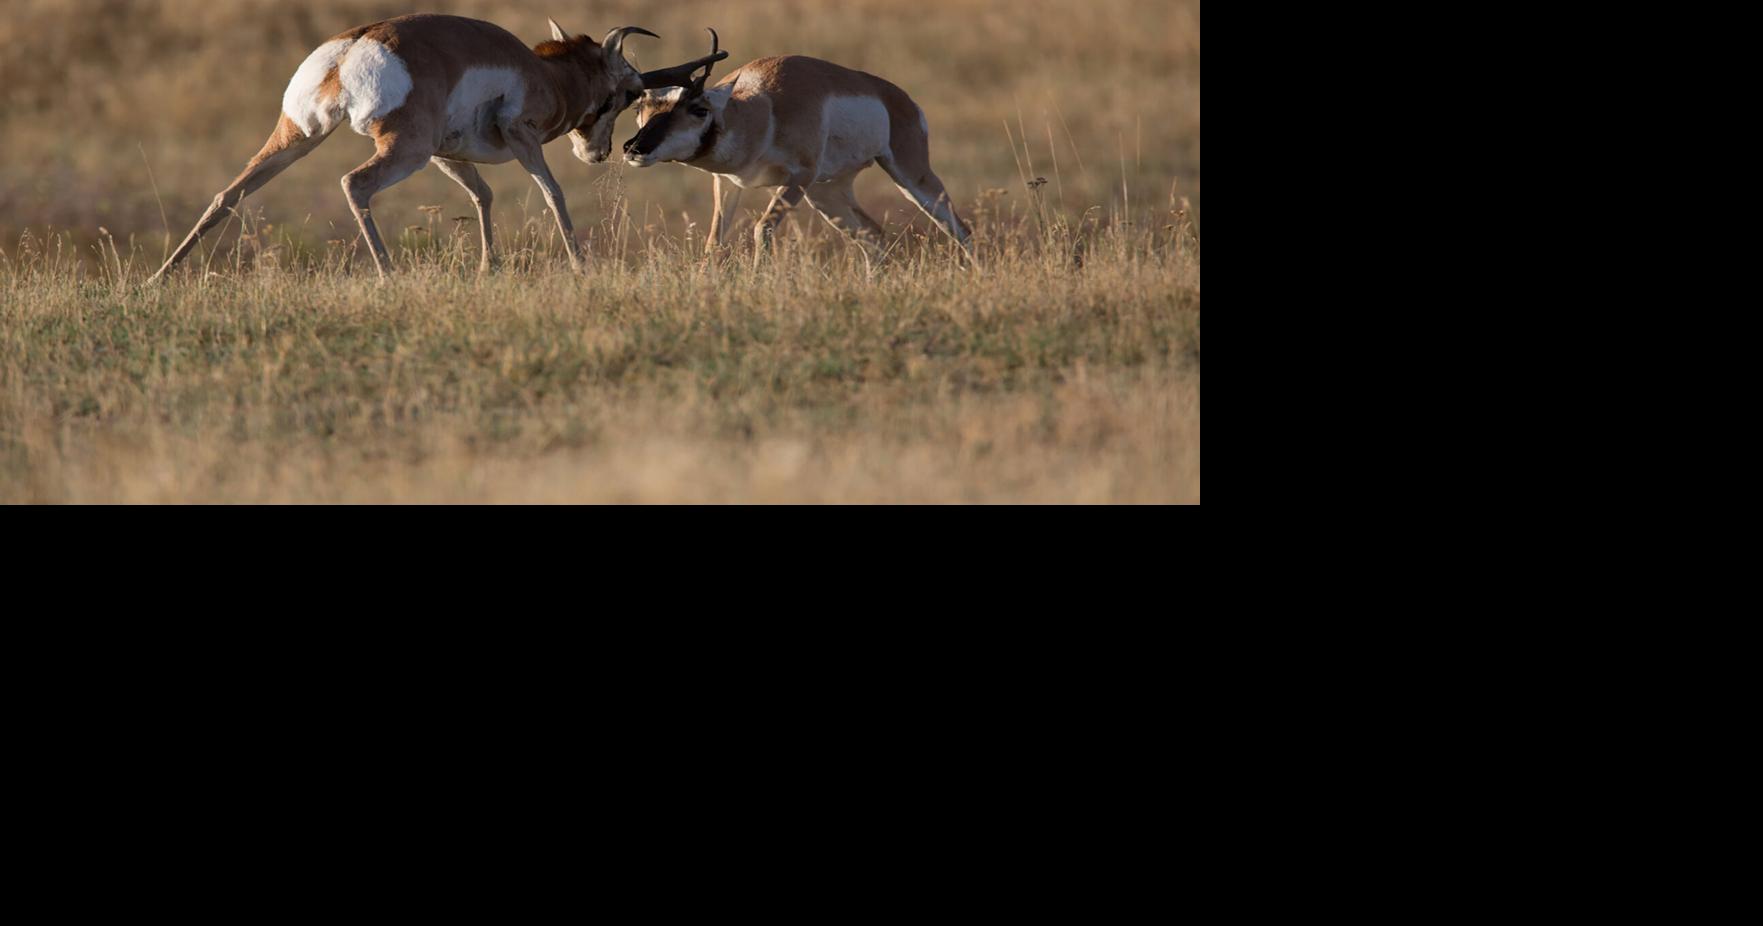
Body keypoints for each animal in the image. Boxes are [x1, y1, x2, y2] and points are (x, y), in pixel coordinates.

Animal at [147, 13, 726, 282]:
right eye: (629, 93)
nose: (600, 154)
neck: (542, 72)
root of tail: (355, 45)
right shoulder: (520, 136)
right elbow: (552, 193)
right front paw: (581, 266)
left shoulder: (450, 156)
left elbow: (483, 196)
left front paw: (489, 268)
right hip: (404, 151)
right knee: (354, 183)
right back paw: (388, 275)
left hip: (298, 137)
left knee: (229, 194)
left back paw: (160, 277)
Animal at [621, 53, 971, 259]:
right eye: (640, 108)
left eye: (698, 108)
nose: (634, 149)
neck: (763, 107)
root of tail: (899, 97)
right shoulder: (727, 183)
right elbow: (714, 240)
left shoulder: (797, 178)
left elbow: (762, 229)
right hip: (827, 195)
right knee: (874, 235)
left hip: (910, 176)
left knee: (960, 229)